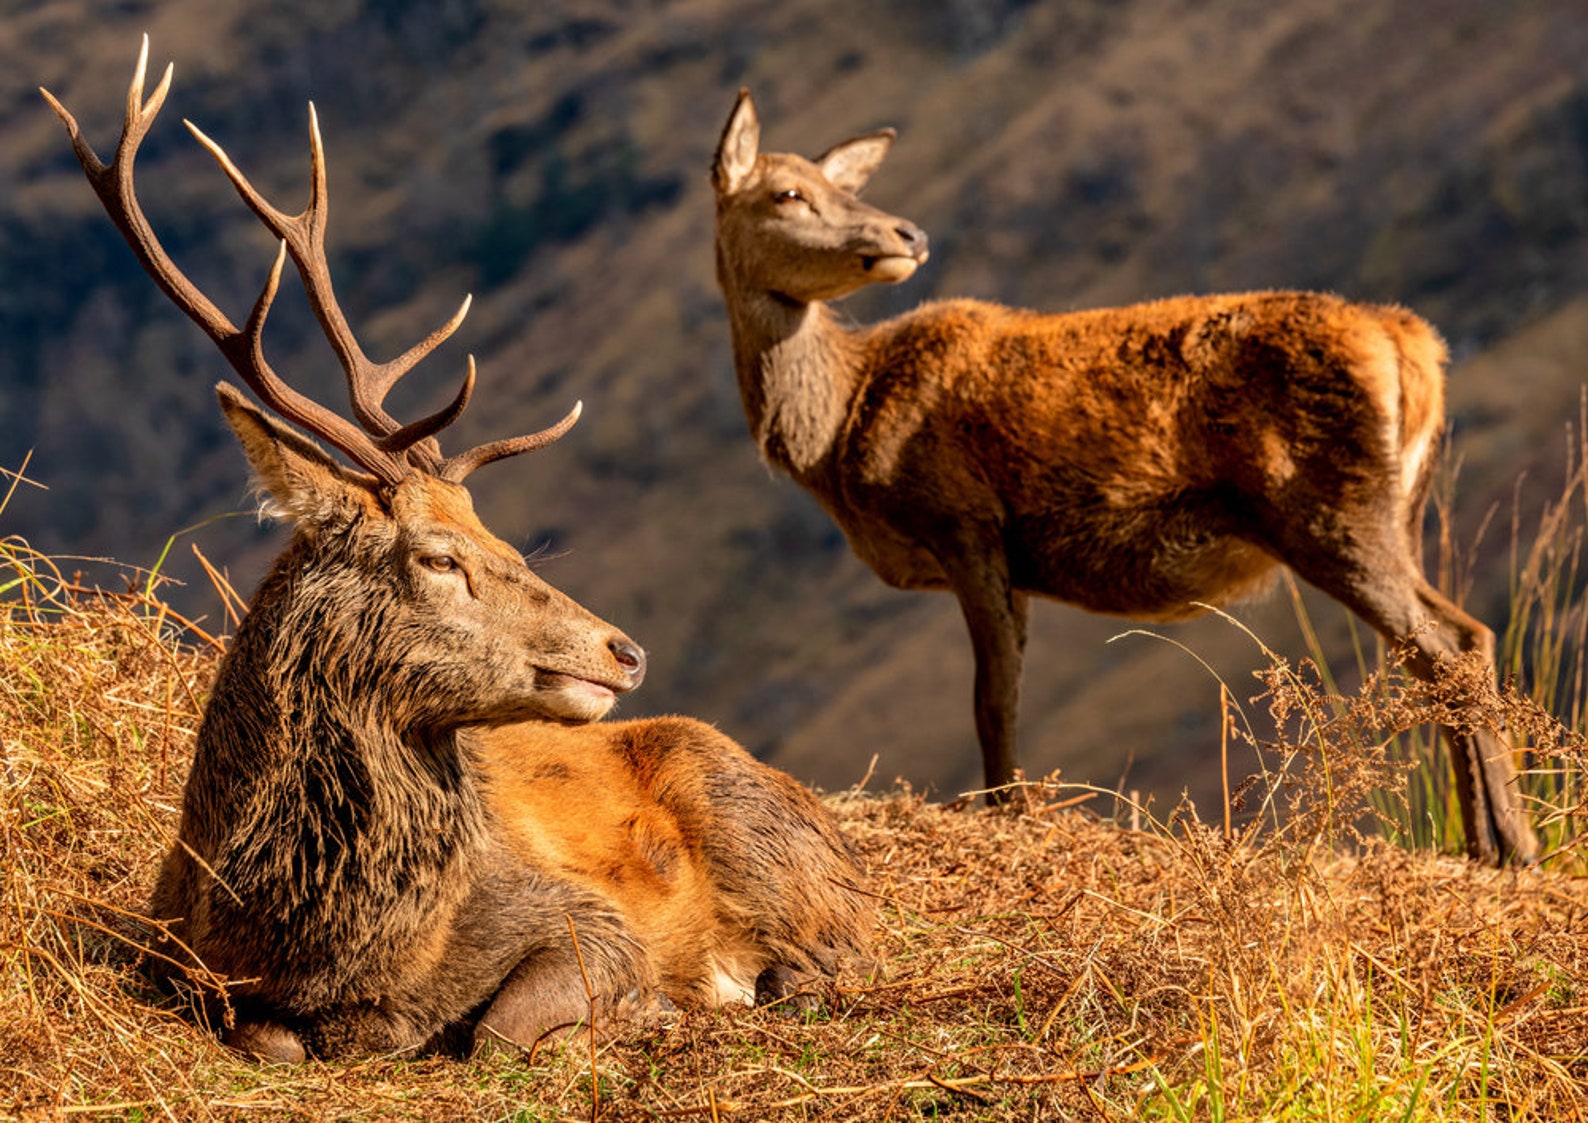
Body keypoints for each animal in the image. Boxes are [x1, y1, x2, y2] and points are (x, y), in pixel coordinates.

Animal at [42, 42, 871, 1062]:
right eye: (441, 557)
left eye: (506, 540)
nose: (625, 649)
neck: (332, 949)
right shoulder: (185, 964)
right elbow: (272, 1039)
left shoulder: (587, 917)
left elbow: (499, 1033)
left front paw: (648, 1006)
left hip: (771, 844)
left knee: (834, 954)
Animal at [710, 88, 1540, 867]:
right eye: (789, 192)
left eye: (829, 184)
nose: (908, 233)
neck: (841, 427)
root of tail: (1412, 344)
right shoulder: (1010, 561)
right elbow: (1006, 685)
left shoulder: (965, 519)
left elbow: (991, 697)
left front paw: (1006, 809)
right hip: (1399, 513)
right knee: (1454, 642)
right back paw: (1486, 842)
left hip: (1327, 508)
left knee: (1448, 643)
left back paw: (1511, 843)